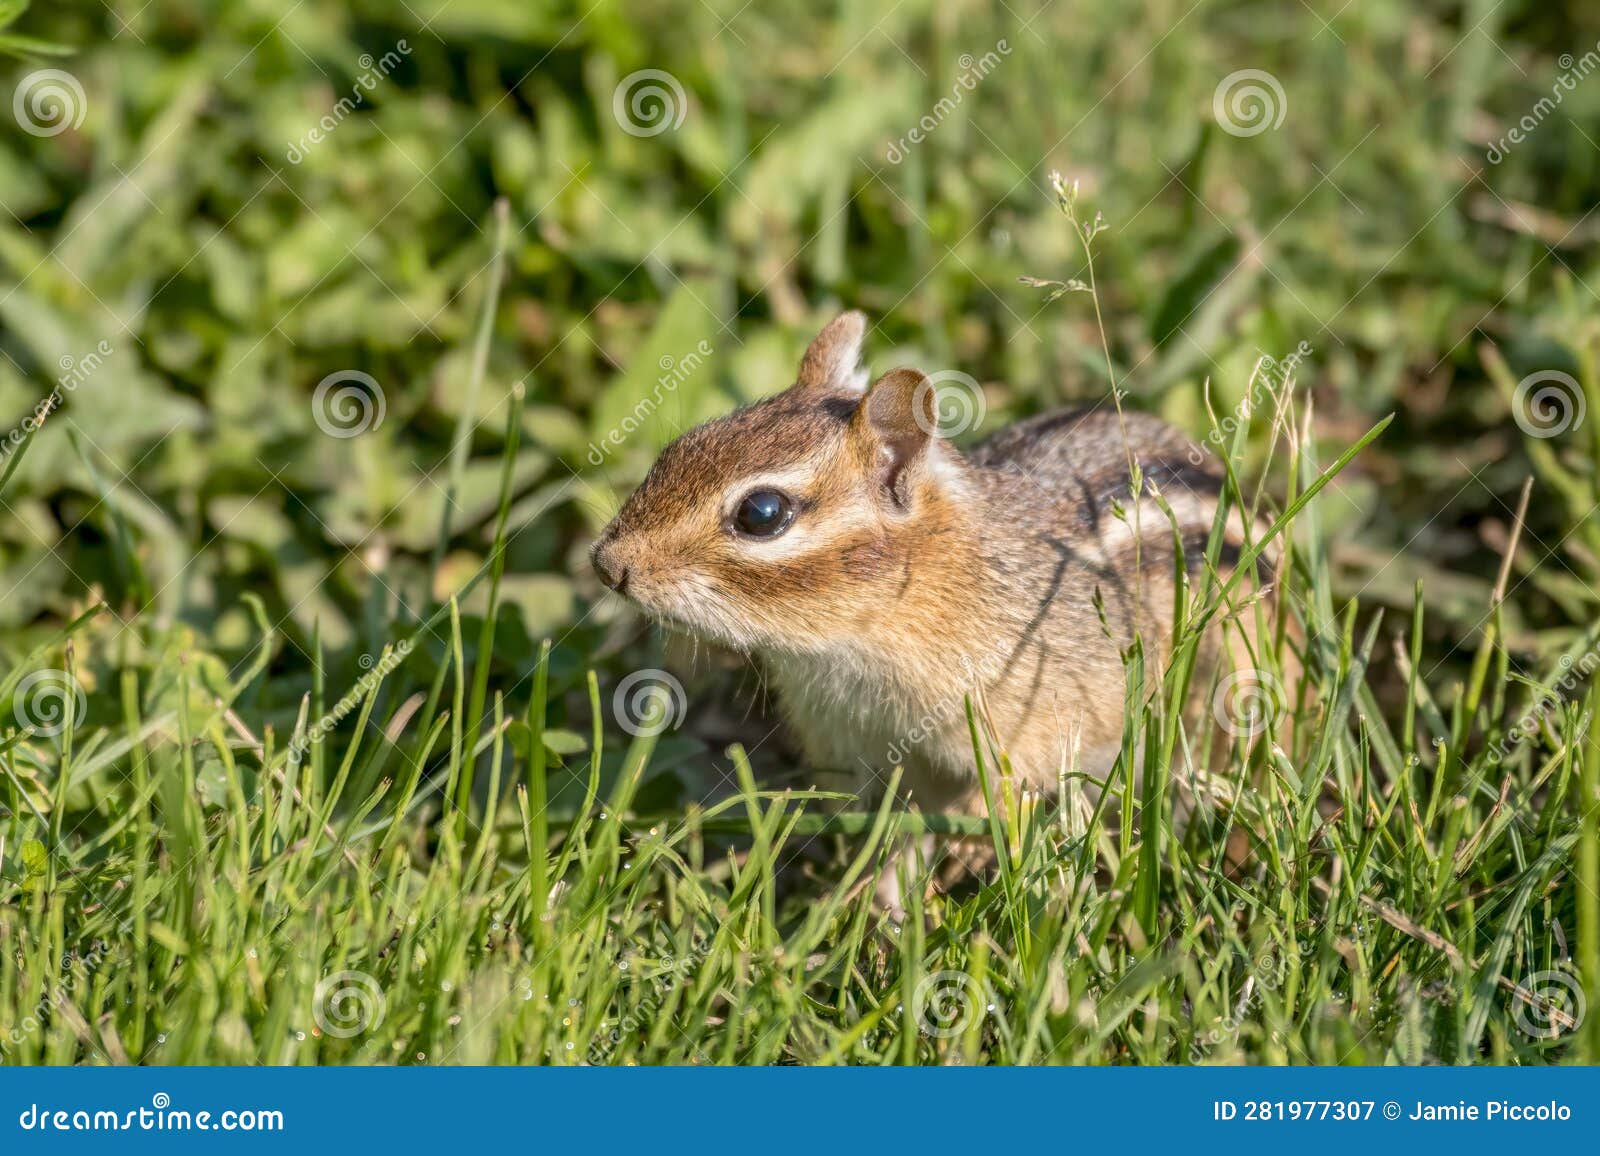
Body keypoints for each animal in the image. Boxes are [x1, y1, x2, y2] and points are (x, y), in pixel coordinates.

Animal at [591, 311, 1280, 824]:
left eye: (762, 513)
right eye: (678, 448)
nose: (607, 564)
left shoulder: (1023, 728)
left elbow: (995, 802)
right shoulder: (848, 744)